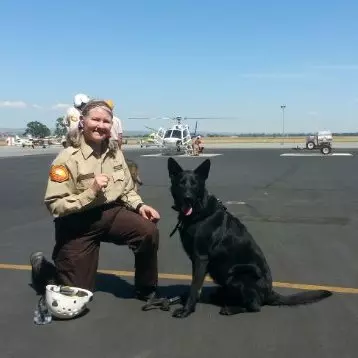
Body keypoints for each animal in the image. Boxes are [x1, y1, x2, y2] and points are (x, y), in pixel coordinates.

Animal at [168, 158, 332, 318]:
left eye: (195, 184)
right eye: (181, 183)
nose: (188, 198)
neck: (199, 212)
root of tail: (269, 293)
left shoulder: (200, 259)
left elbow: (194, 287)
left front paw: (187, 309)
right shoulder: (196, 260)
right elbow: (195, 286)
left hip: (237, 276)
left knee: (254, 306)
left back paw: (231, 308)